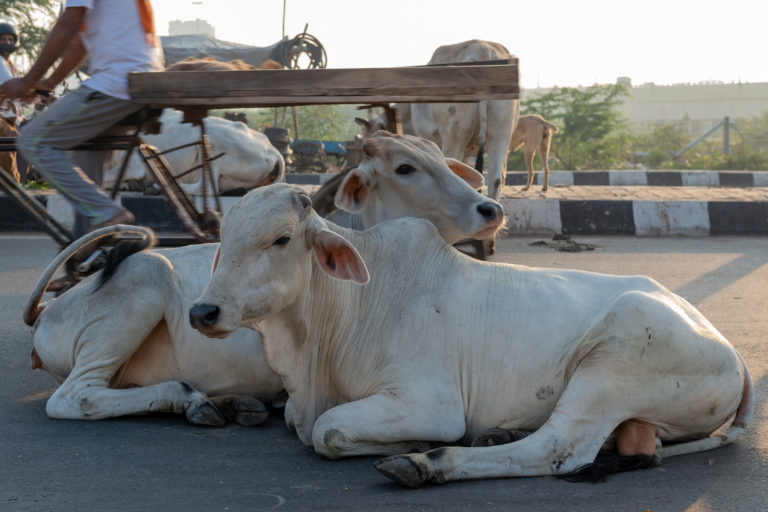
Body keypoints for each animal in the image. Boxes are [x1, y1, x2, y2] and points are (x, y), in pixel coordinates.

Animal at [25, 132, 503, 426]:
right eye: (405, 168)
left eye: (442, 160)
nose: (490, 209)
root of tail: (47, 311)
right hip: (145, 278)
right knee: (76, 396)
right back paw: (187, 398)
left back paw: (229, 403)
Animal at [104, 109, 285, 196]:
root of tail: (273, 151)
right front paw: (129, 185)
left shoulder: (134, 165)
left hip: (211, 145)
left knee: (207, 189)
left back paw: (158, 187)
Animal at [190, 183, 753, 487]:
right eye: (223, 239)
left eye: (281, 239)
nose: (203, 311)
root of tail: (733, 353)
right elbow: (295, 420)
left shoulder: (430, 400)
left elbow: (326, 432)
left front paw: (419, 442)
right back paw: (496, 434)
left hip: (616, 356)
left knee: (559, 448)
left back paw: (427, 462)